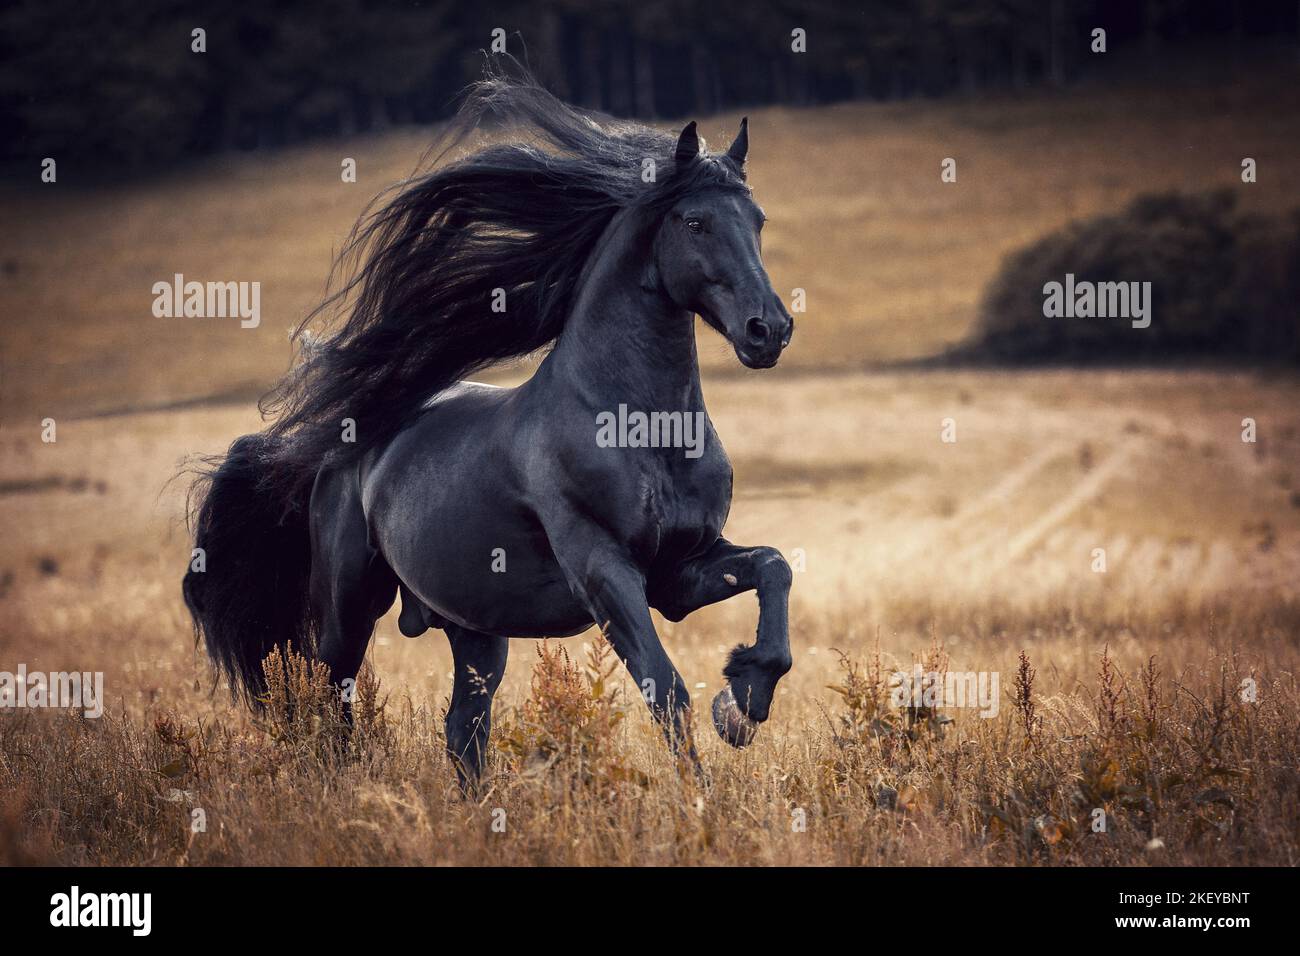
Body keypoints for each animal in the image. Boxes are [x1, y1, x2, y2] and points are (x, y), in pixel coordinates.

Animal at [182, 71, 795, 789]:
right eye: (695, 222)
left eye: (757, 220)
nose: (769, 330)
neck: (642, 430)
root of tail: (339, 443)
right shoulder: (605, 573)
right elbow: (665, 688)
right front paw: (707, 788)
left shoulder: (680, 571)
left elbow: (774, 568)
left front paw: (744, 697)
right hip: (349, 605)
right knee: (331, 698)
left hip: (475, 628)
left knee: (462, 731)